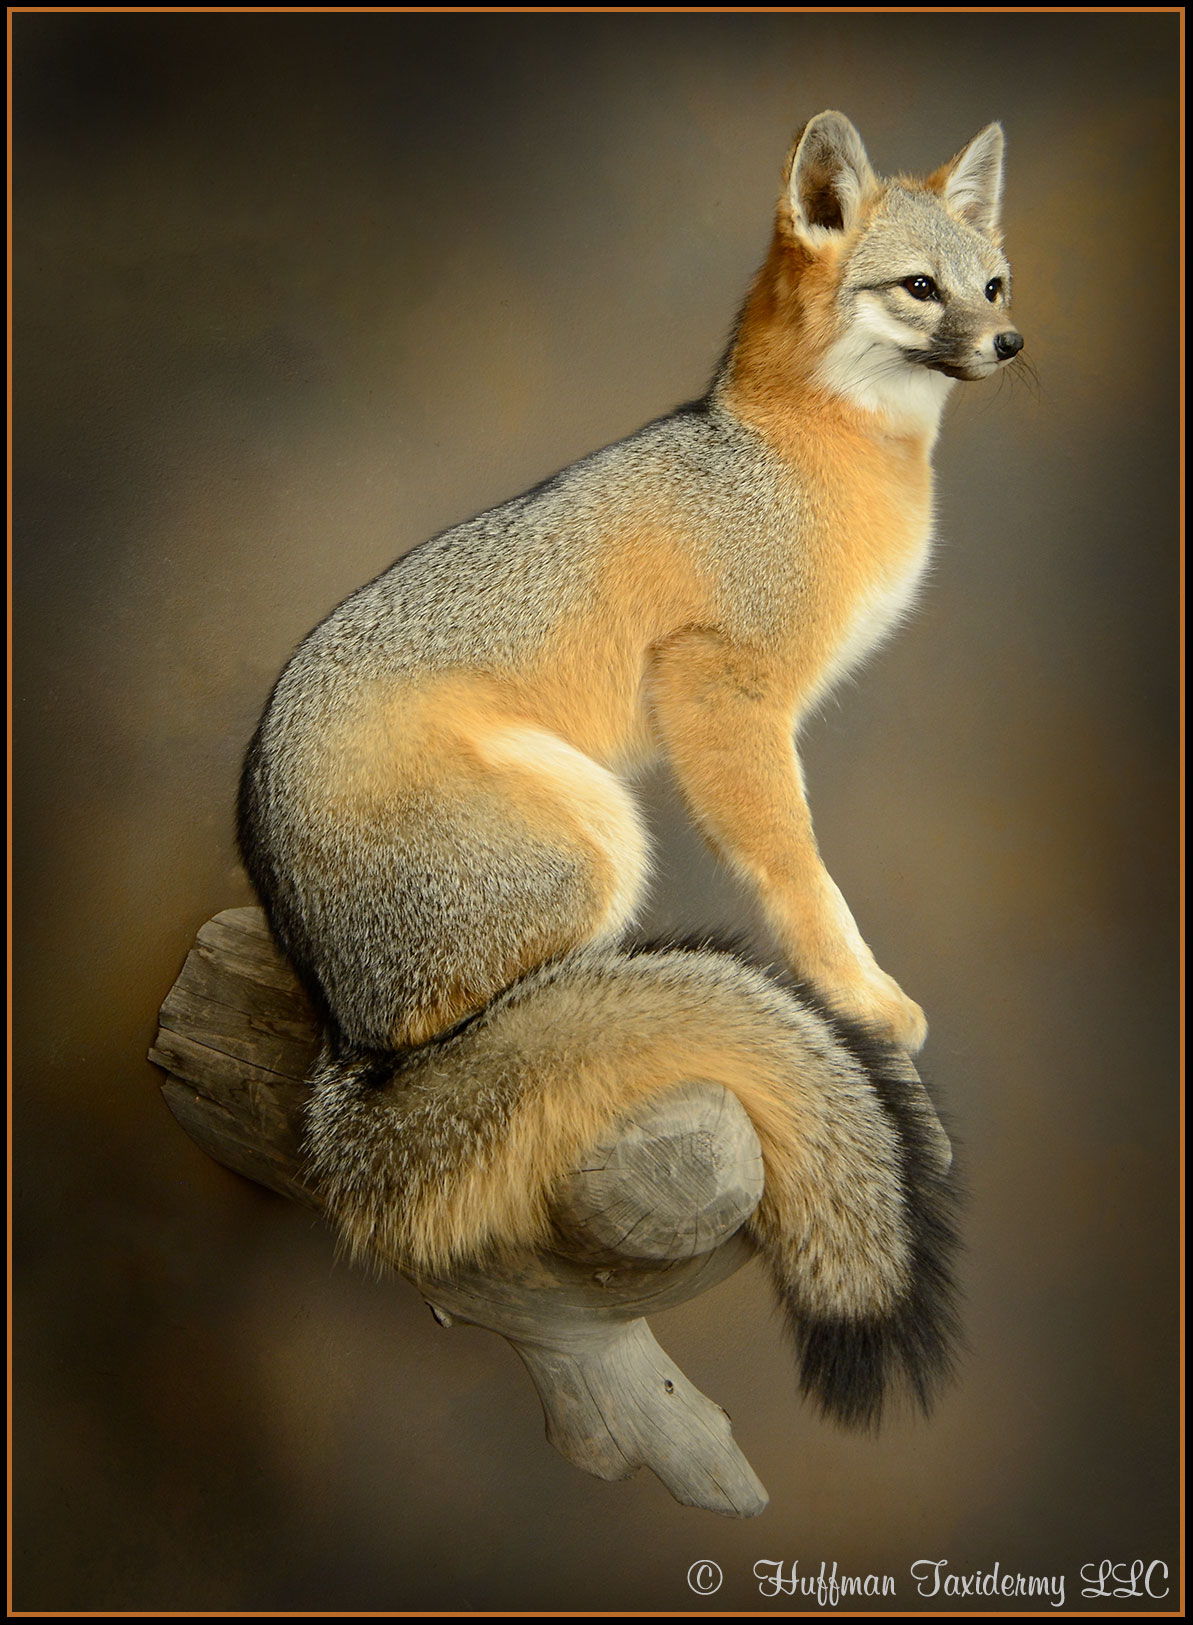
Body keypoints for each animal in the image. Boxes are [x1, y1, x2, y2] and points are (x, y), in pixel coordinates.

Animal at [238, 111, 1022, 1427]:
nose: (1011, 341)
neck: (807, 449)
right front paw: (855, 993)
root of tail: (341, 1019)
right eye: (920, 288)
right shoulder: (720, 692)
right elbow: (795, 870)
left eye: (992, 284)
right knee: (513, 1019)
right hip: (595, 824)